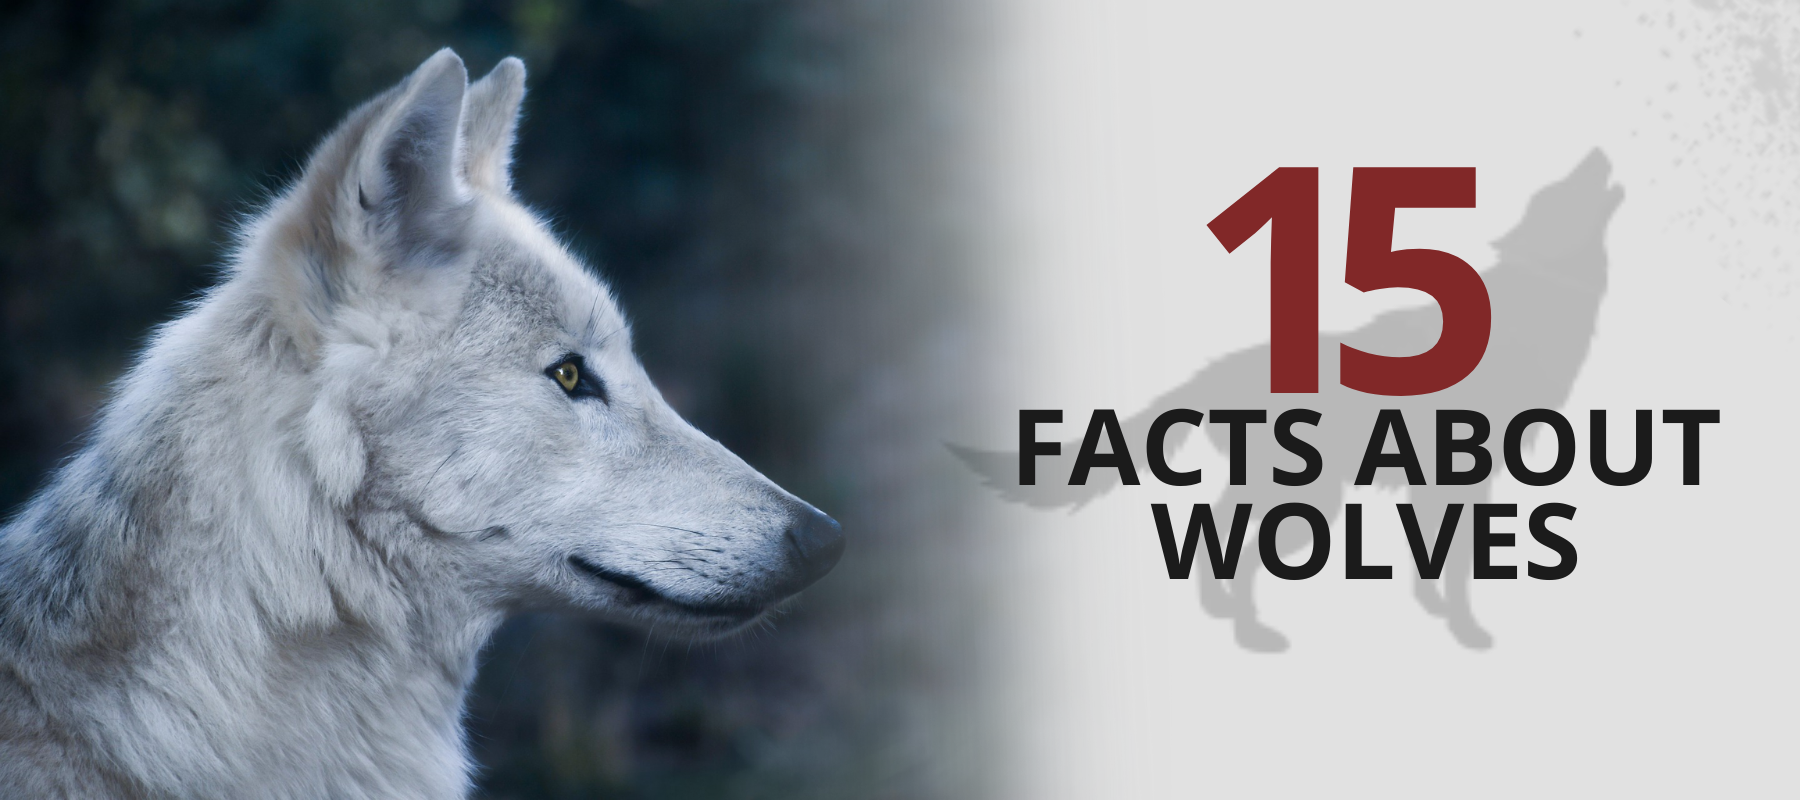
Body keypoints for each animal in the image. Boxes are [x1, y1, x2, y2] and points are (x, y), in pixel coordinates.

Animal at [956, 150, 1622, 652]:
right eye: (1562, 189)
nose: (1595, 150)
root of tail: (1210, 375)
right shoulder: (1464, 477)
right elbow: (1456, 564)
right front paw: (1465, 629)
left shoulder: (1432, 482)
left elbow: (1430, 558)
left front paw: (1433, 608)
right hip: (1310, 500)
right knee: (1243, 552)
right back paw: (1251, 633)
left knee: (1214, 535)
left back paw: (1221, 614)